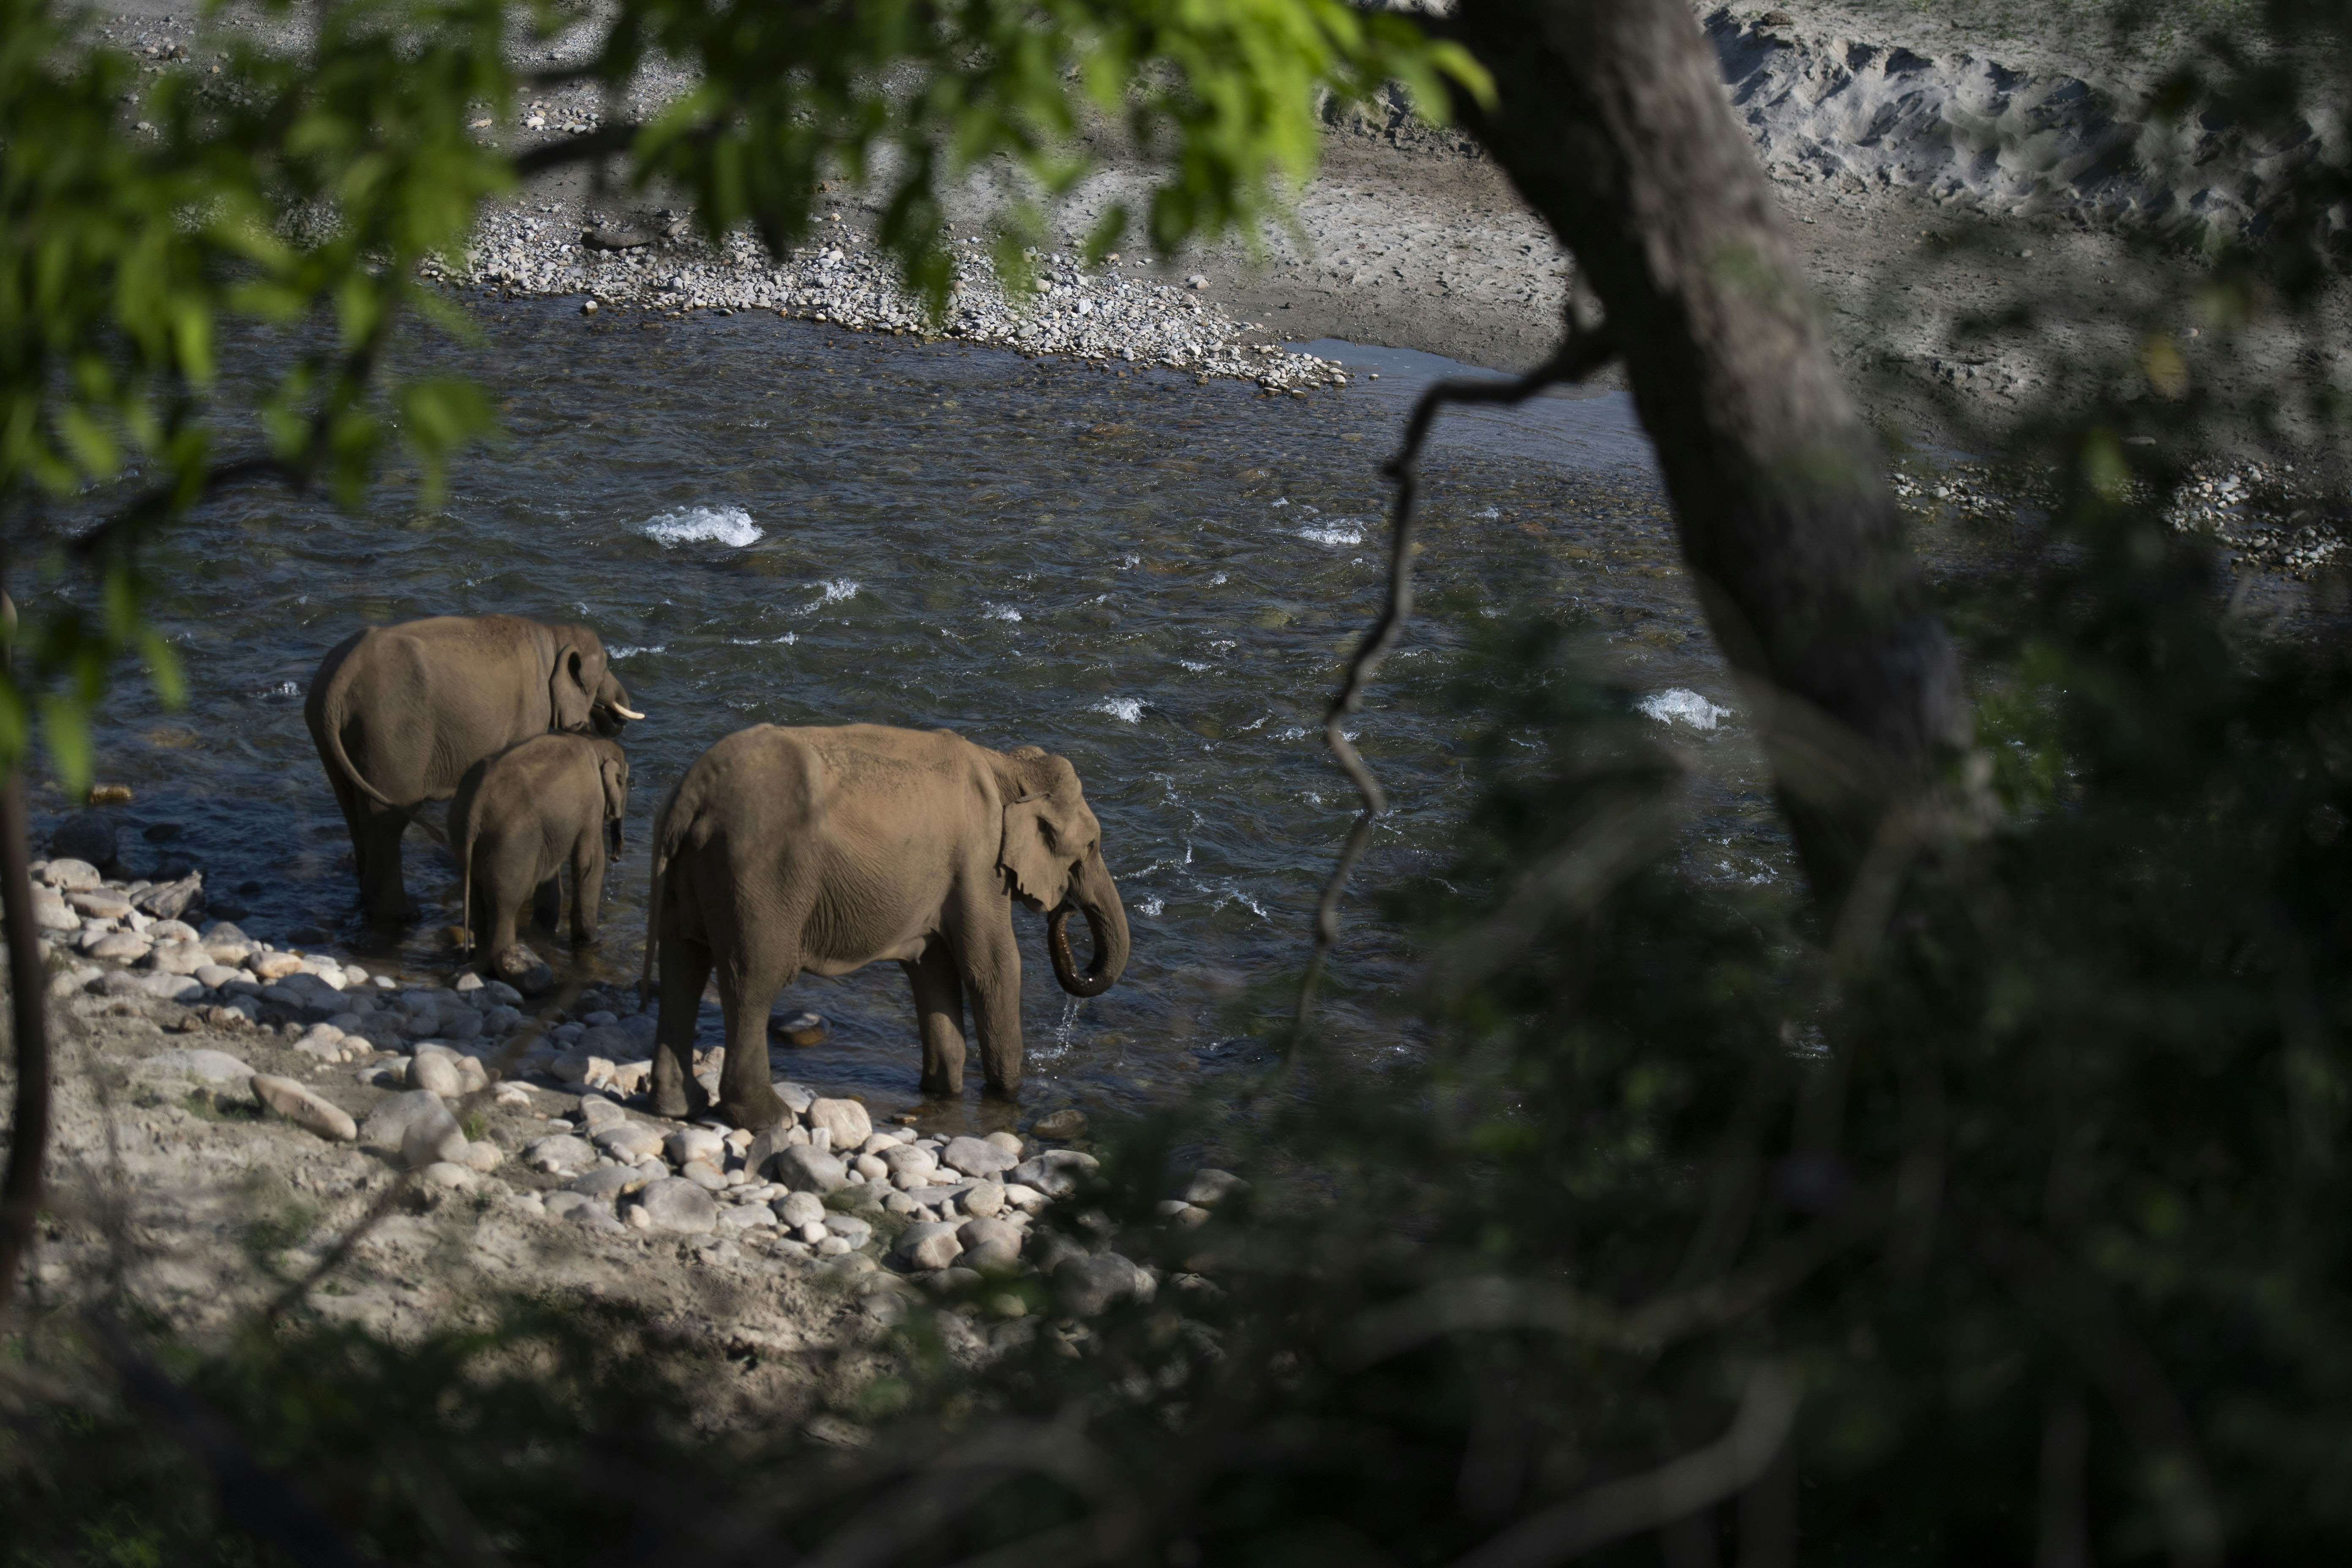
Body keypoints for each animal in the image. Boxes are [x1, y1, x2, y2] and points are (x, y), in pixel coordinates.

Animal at [304, 614, 643, 924]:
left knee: (353, 810)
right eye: (604, 669)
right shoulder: (531, 710)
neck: (552, 633)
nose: (617, 857)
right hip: (388, 736)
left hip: (333, 737)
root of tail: (338, 681)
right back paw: (405, 914)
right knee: (386, 822)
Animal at [450, 733, 630, 992]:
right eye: (624, 782)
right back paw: (497, 967)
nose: (617, 857)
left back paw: (480, 964)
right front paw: (589, 944)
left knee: (477, 895)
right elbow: (590, 862)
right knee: (505, 902)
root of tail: (474, 807)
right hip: (512, 842)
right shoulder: (592, 803)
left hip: (464, 836)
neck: (594, 745)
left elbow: (551, 873)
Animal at [639, 724, 1131, 1127]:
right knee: (754, 978)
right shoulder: (979, 861)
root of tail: (692, 793)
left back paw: (678, 1106)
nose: (1067, 909)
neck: (1007, 764)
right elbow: (992, 967)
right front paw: (1008, 1097)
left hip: (691, 870)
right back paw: (768, 1119)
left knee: (683, 965)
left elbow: (932, 969)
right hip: (757, 875)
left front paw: (942, 1092)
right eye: (1092, 844)